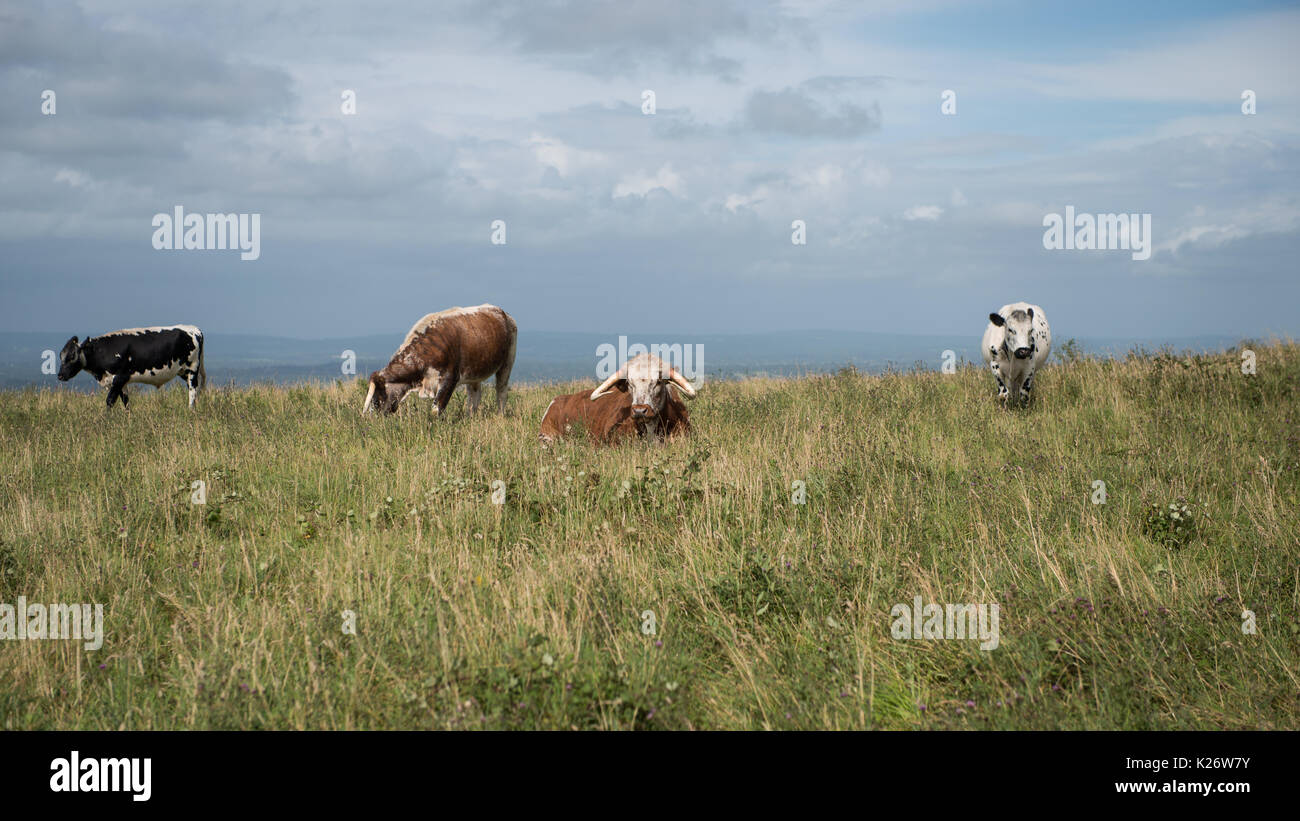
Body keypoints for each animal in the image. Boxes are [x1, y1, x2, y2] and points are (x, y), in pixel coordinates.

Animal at [56, 325, 206, 410]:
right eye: (61, 356)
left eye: (72, 356)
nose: (60, 375)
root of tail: (194, 329)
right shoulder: (120, 382)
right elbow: (126, 402)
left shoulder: (119, 377)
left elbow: (110, 401)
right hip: (183, 371)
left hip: (192, 369)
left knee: (192, 391)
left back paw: (190, 410)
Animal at [362, 304, 517, 417]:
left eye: (377, 399)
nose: (372, 419)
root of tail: (502, 312)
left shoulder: (450, 379)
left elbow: (436, 409)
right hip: (474, 372)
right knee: (474, 395)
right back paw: (470, 417)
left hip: (507, 363)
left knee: (501, 391)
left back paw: (500, 416)